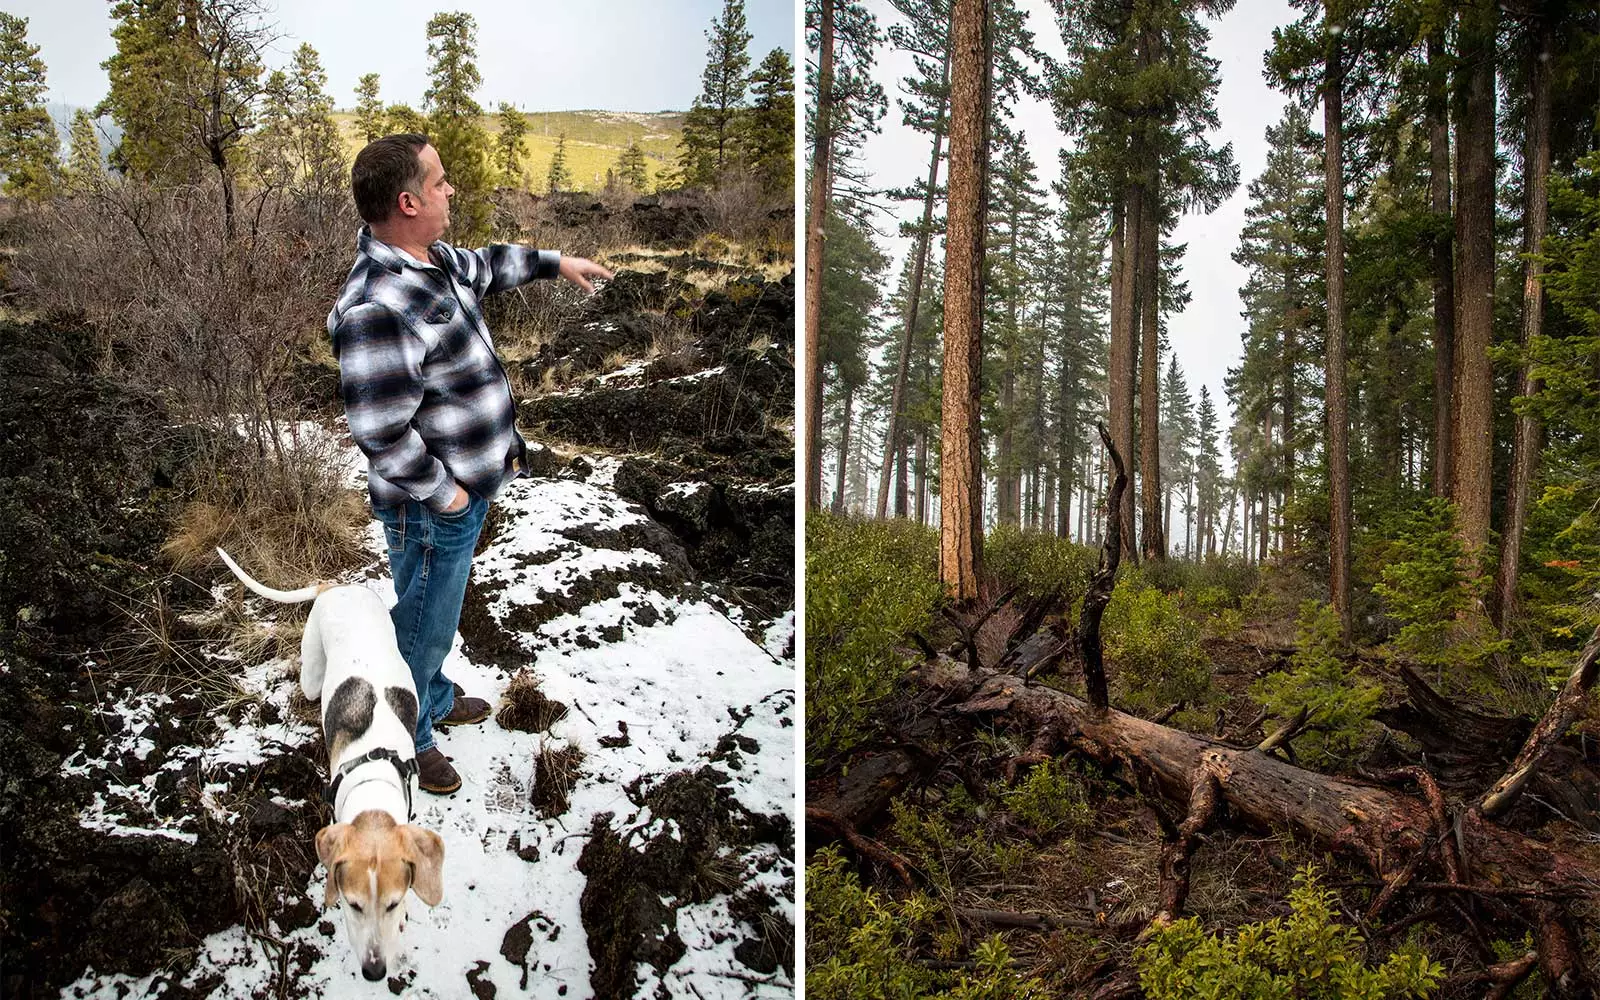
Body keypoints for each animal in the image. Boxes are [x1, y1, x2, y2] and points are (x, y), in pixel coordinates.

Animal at [216, 550, 444, 979]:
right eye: (353, 905)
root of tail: (333, 587)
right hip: (311, 671)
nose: (374, 971)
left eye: (392, 903)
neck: (373, 782)